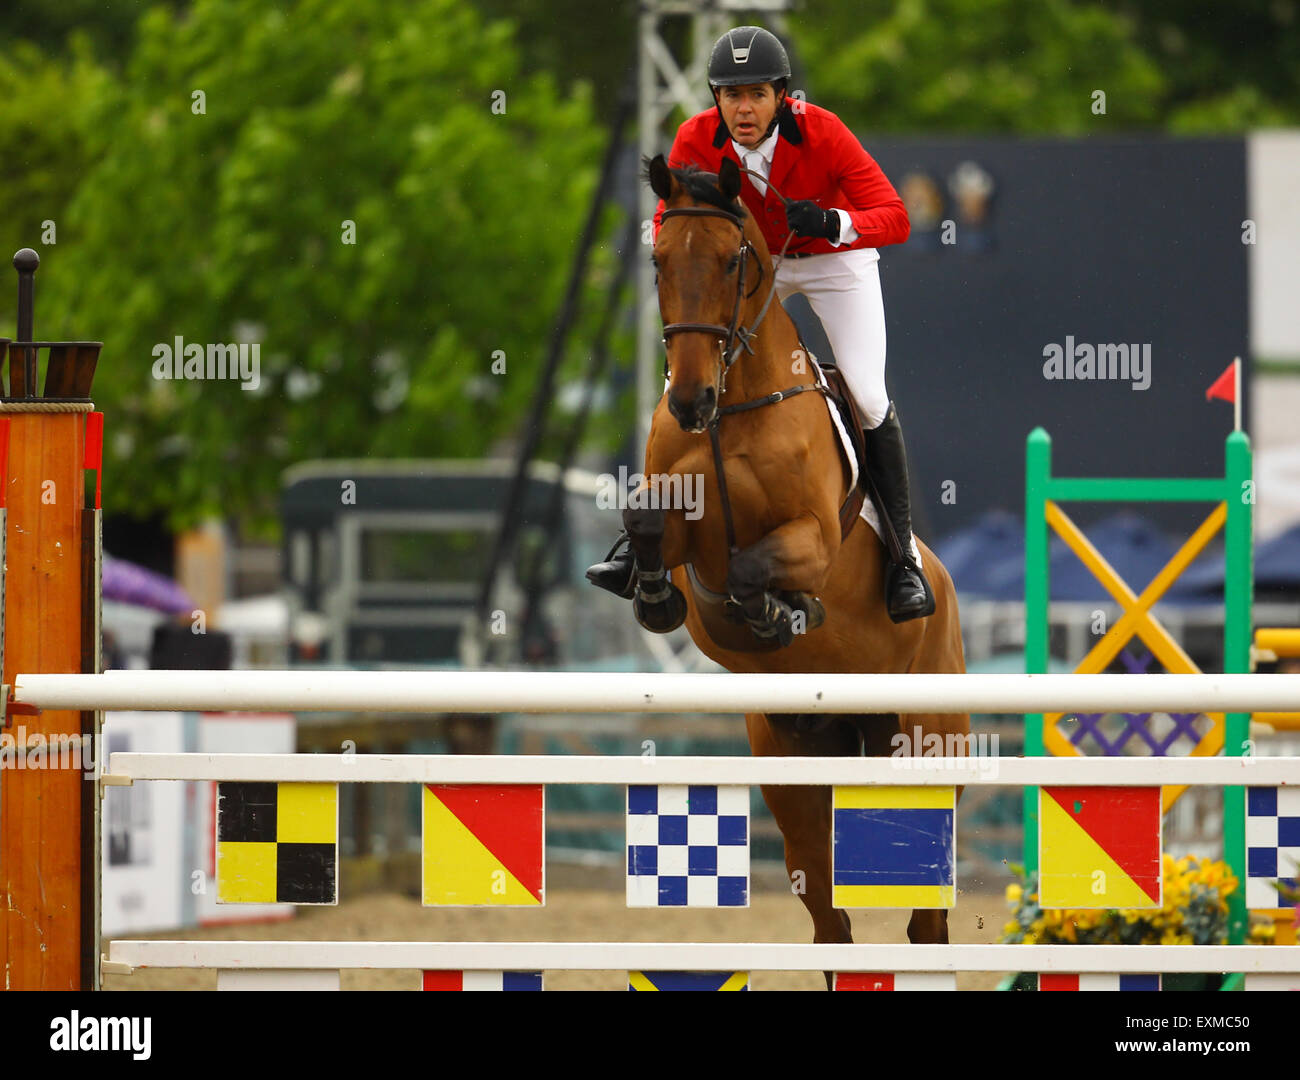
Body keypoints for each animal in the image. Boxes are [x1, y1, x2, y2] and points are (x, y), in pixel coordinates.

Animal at [620, 154, 970, 985]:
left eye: (732, 262)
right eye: (658, 262)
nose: (689, 400)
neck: (736, 405)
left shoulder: (809, 537)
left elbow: (756, 564)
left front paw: (782, 611)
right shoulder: (680, 527)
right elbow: (651, 528)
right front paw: (651, 597)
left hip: (925, 743)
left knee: (927, 921)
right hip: (794, 764)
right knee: (830, 920)